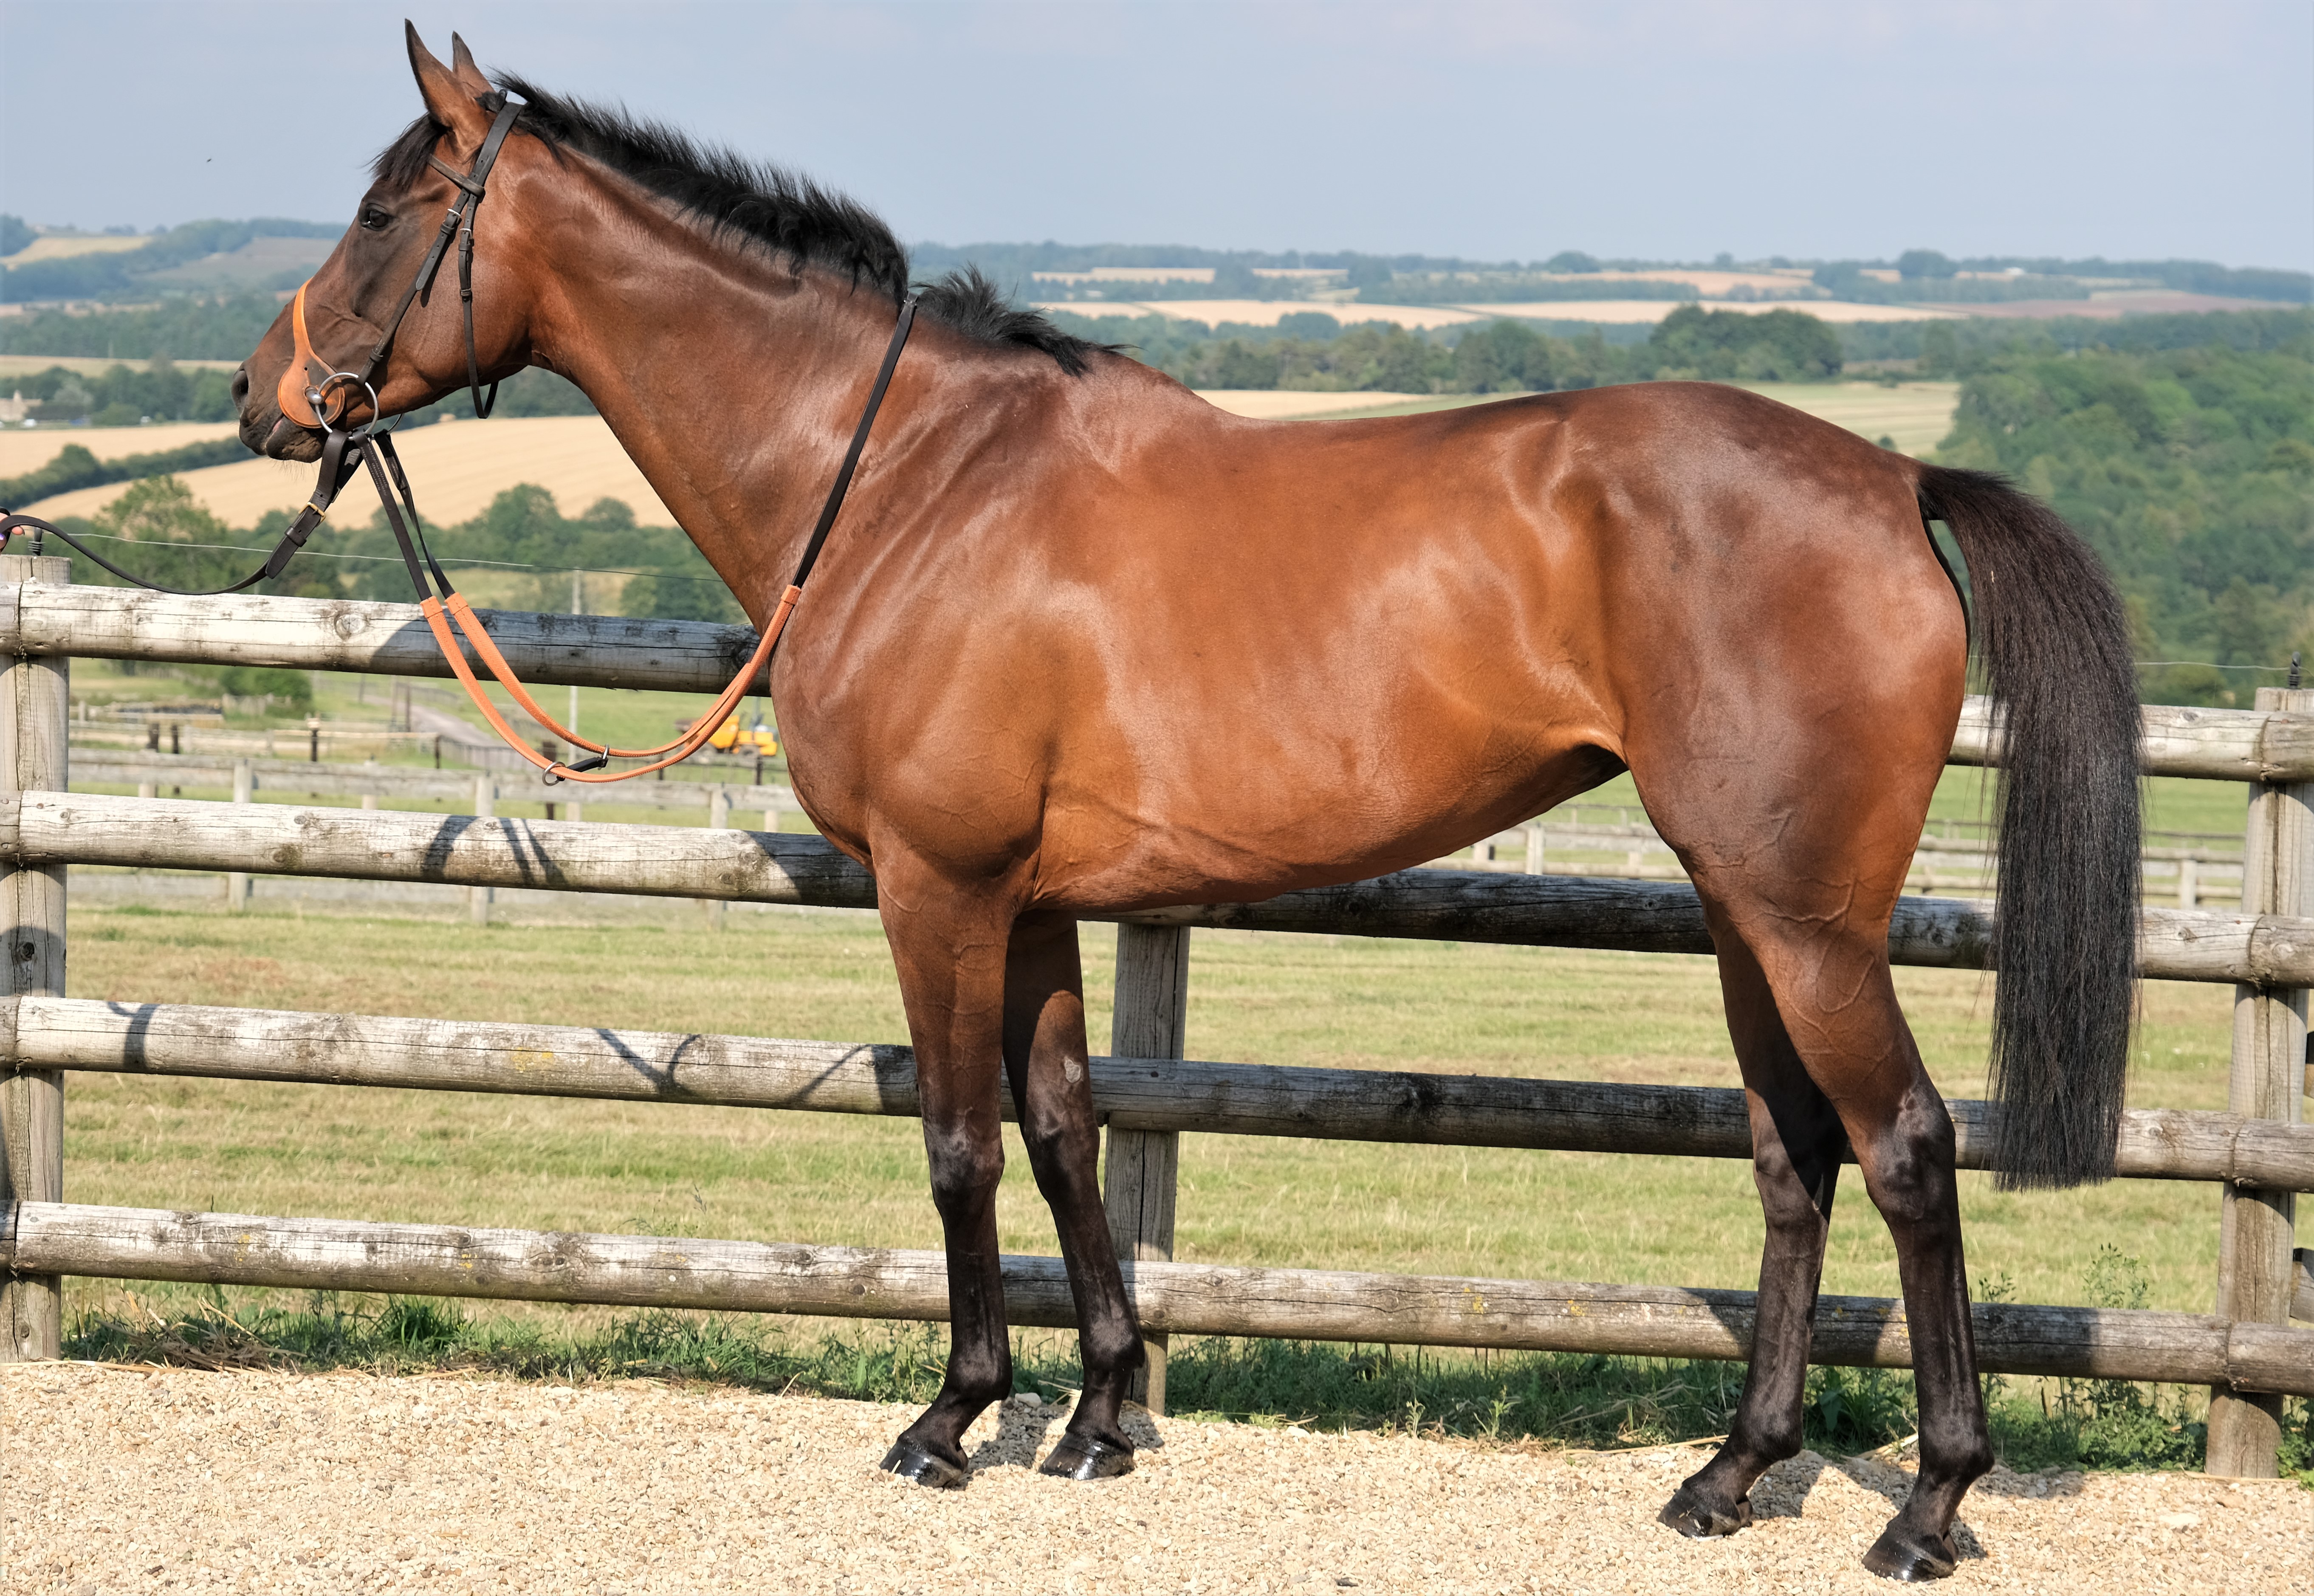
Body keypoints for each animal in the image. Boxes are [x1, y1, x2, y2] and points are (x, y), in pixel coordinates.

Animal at [233, 27, 2142, 1582]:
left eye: (390, 214)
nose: (265, 399)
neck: (904, 482)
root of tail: (1890, 478)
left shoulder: (938, 886)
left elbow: (958, 1140)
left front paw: (951, 1419)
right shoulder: (1035, 898)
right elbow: (1067, 1124)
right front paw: (1098, 1418)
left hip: (1809, 921)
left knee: (1904, 1151)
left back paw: (1927, 1504)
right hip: (1746, 907)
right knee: (1791, 1162)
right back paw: (1731, 1476)